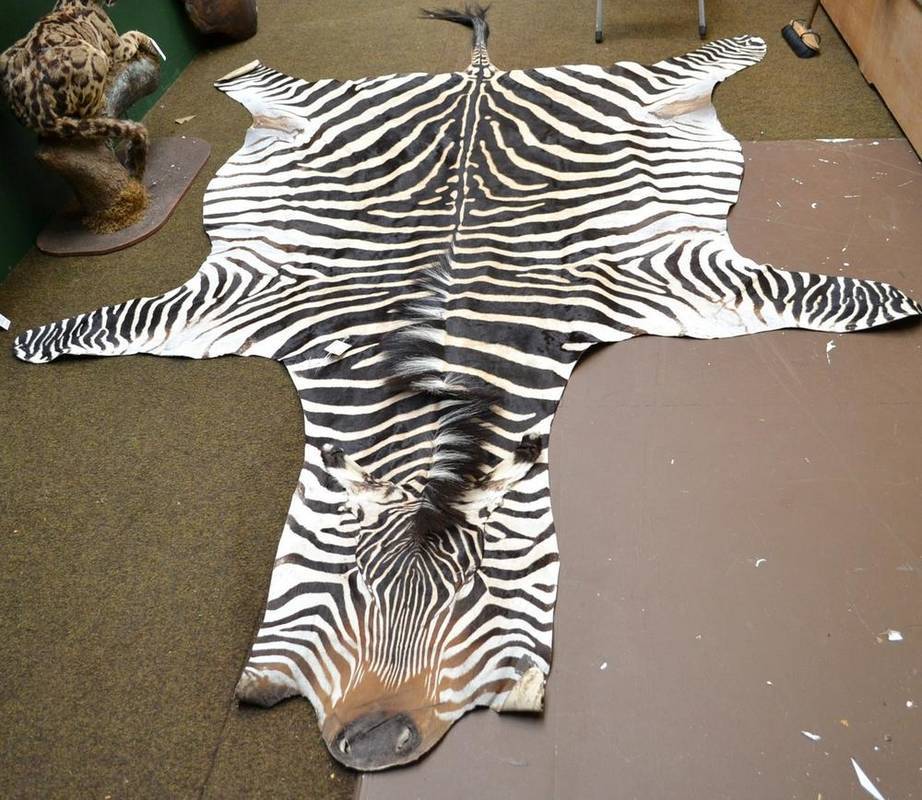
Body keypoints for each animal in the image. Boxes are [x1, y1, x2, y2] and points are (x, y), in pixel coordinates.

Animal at [12, 6, 920, 771]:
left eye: (477, 591)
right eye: (349, 585)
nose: (375, 746)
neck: (439, 381)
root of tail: (478, 78)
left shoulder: (664, 280)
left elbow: (819, 297)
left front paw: (896, 300)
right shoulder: (244, 300)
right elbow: (116, 321)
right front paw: (29, 341)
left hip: (650, 98)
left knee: (696, 64)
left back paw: (750, 45)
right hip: (302, 117)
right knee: (264, 84)